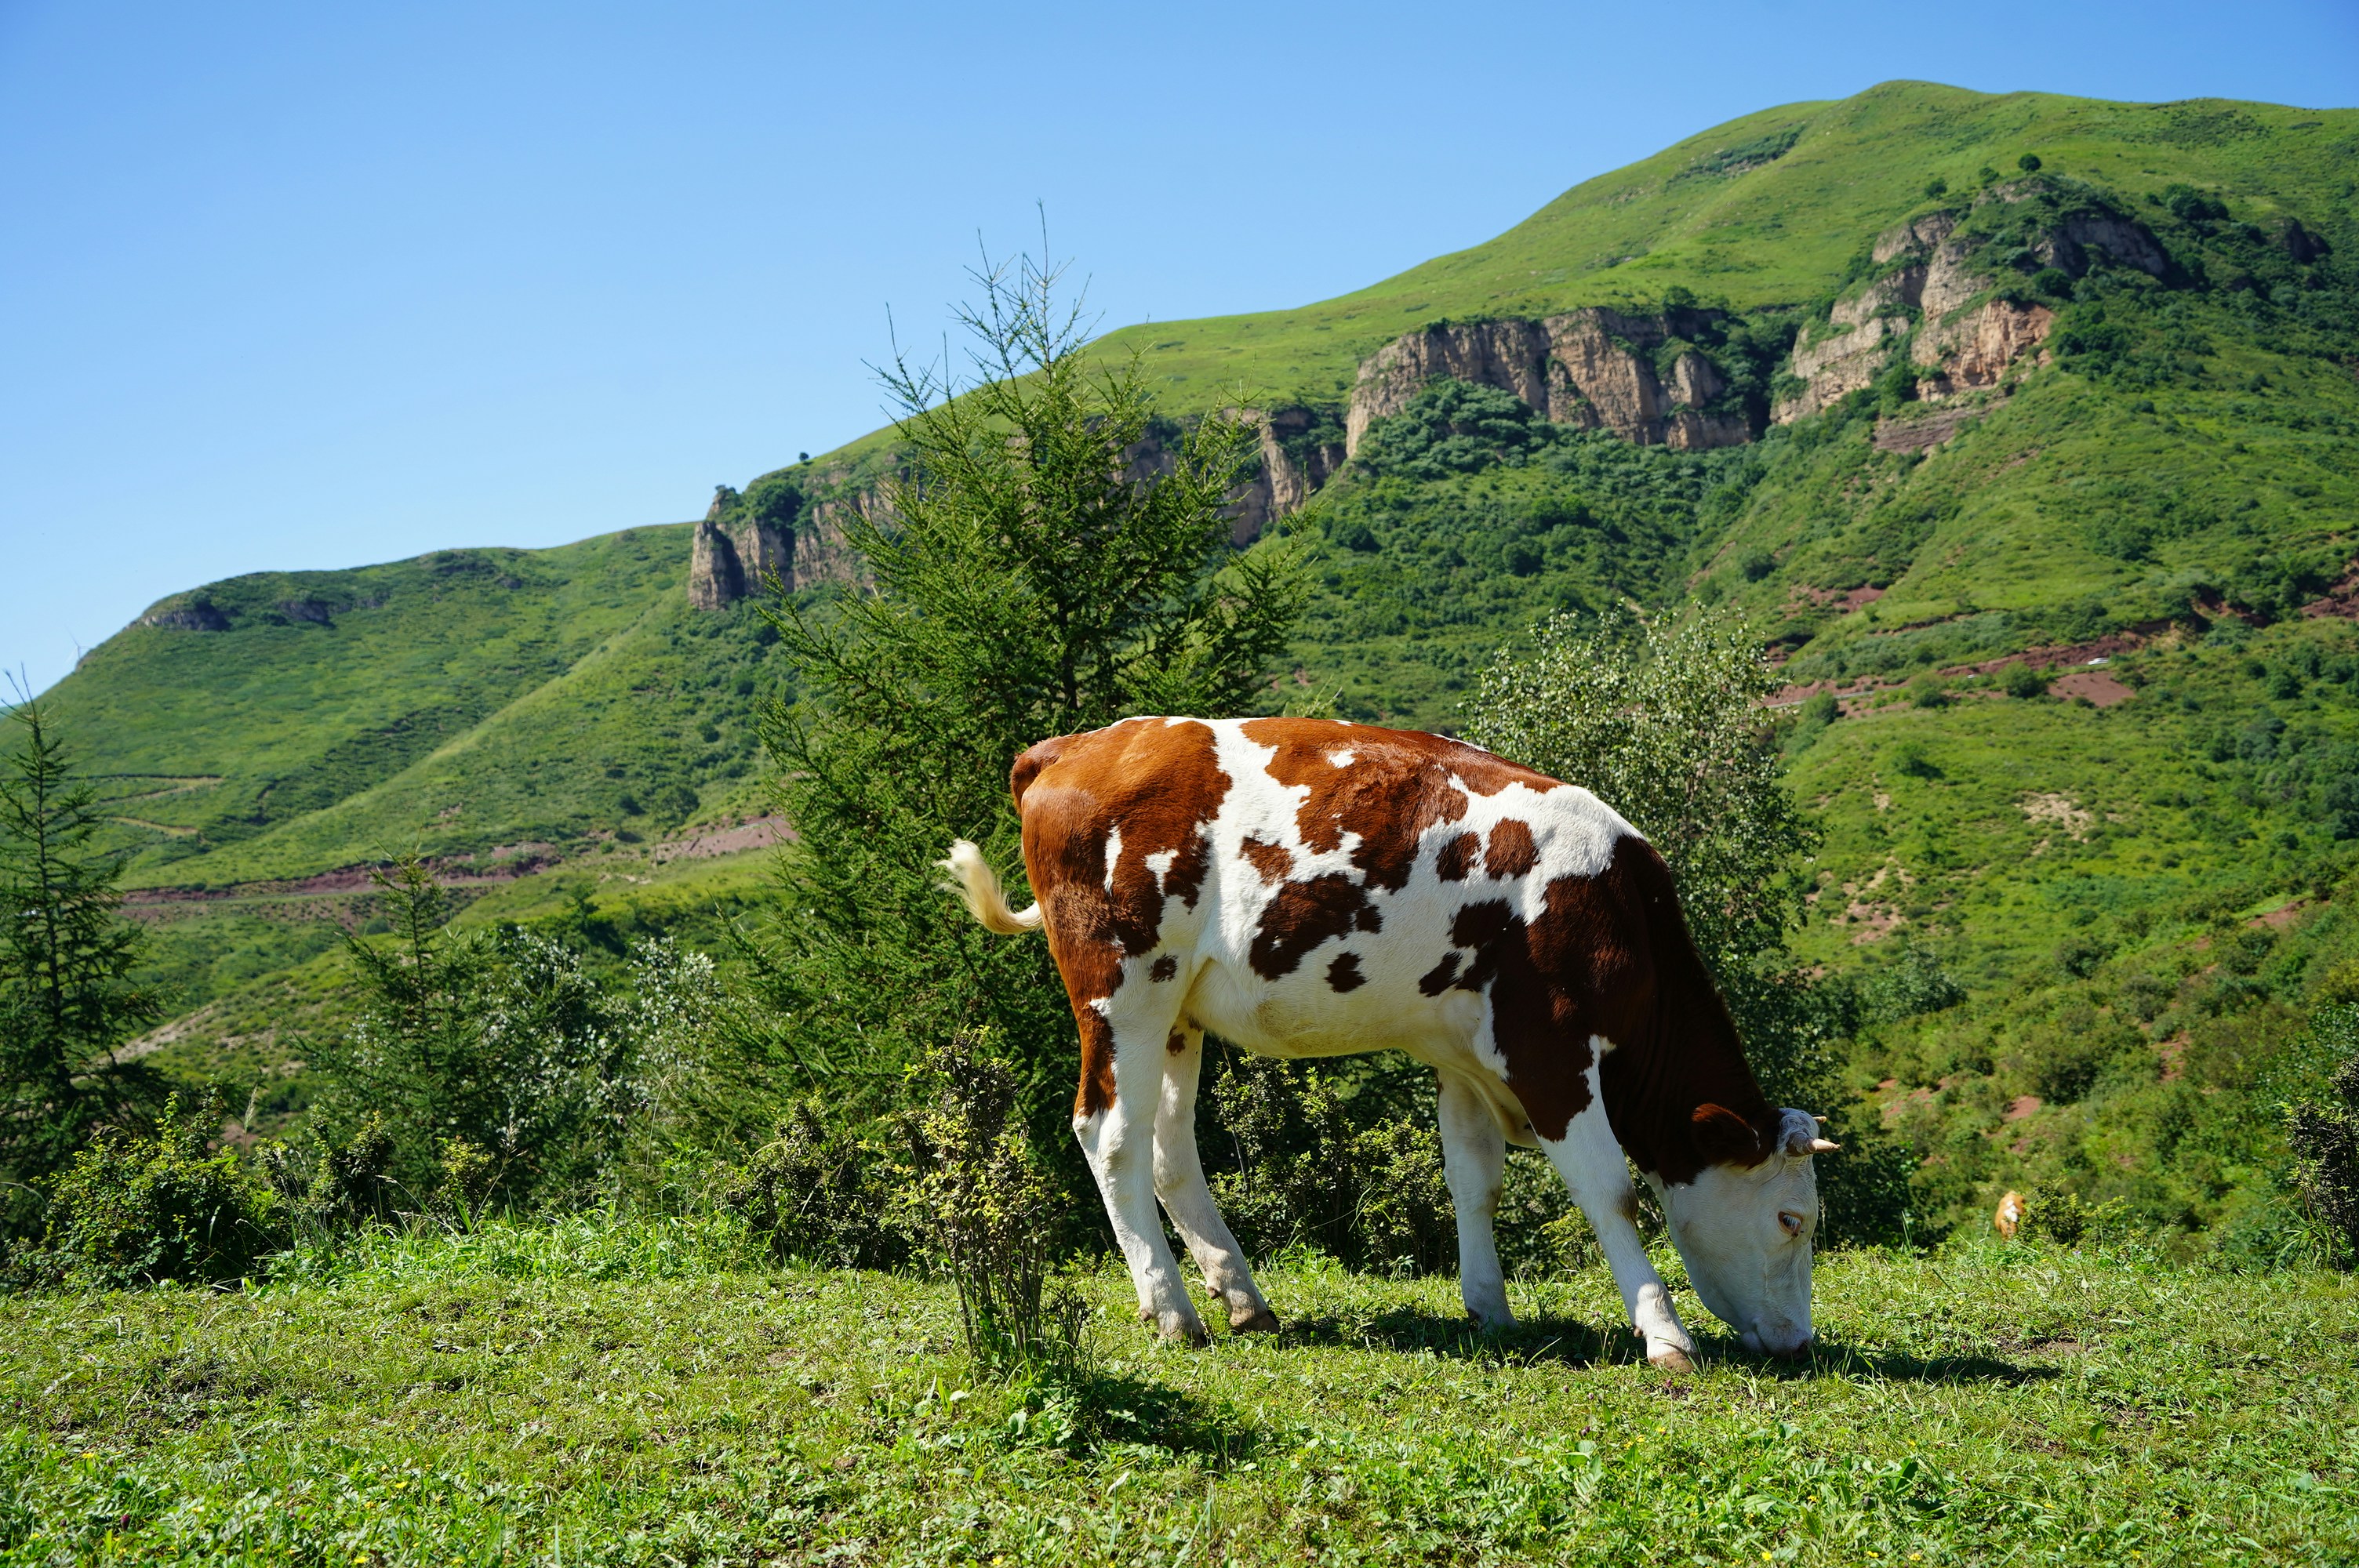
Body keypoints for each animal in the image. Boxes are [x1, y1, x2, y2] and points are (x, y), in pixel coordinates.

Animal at [938, 715, 1837, 1369]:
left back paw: (1244, 1300)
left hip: (1178, 1012)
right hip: (1121, 987)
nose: (1799, 1344)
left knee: (1169, 1150)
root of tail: (1073, 745)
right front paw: (1665, 1336)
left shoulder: (1464, 1055)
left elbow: (1475, 1182)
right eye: (1792, 1219)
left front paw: (1490, 1308)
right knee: (1109, 1134)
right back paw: (1173, 1311)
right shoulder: (1547, 1047)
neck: (1617, 907)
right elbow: (1609, 1190)